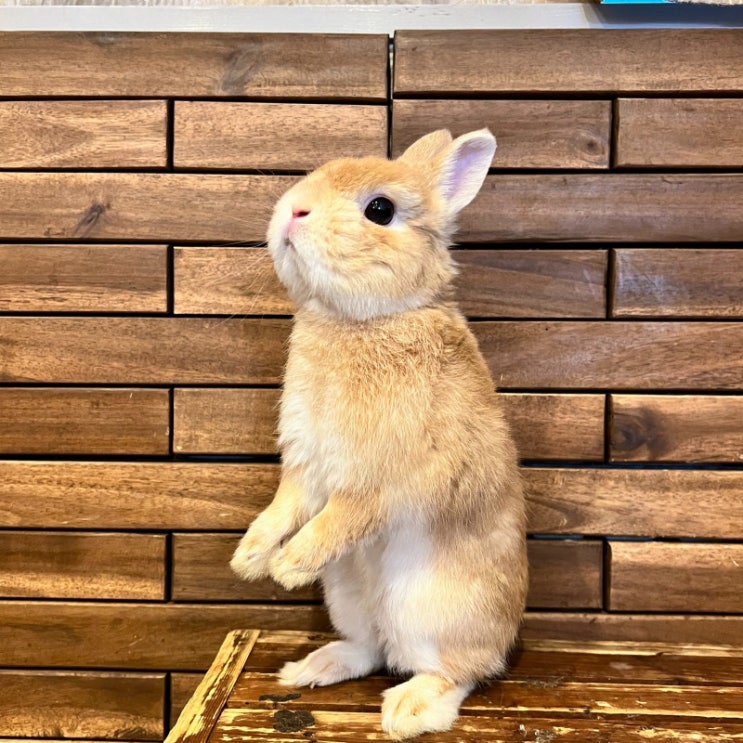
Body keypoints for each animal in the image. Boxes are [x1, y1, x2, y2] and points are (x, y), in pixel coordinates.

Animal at [230, 128, 528, 740]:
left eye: (380, 210)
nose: (293, 210)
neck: (359, 322)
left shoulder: (378, 481)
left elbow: (341, 518)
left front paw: (288, 566)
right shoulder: (304, 469)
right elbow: (283, 507)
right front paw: (249, 559)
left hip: (435, 614)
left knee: (457, 671)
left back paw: (409, 710)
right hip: (349, 597)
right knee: (370, 650)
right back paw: (312, 667)